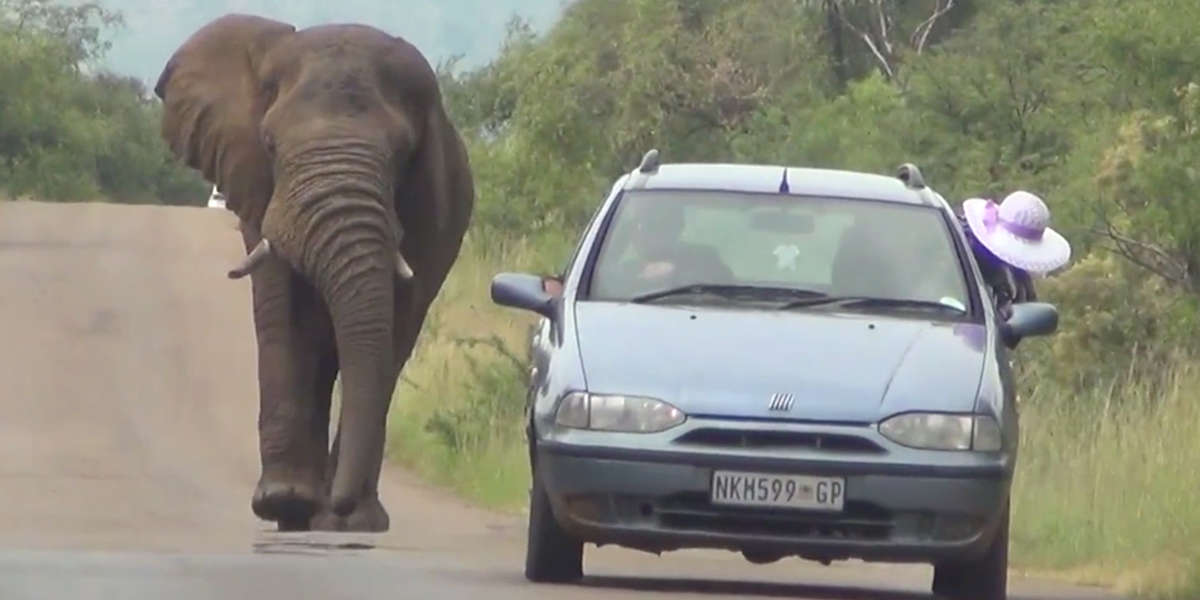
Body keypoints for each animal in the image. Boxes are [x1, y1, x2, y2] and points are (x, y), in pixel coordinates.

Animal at [152, 14, 474, 532]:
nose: (337, 505)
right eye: (269, 144)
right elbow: (286, 315)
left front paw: (346, 517)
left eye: (402, 153)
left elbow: (392, 327)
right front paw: (284, 503)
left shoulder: (429, 210)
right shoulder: (260, 190)